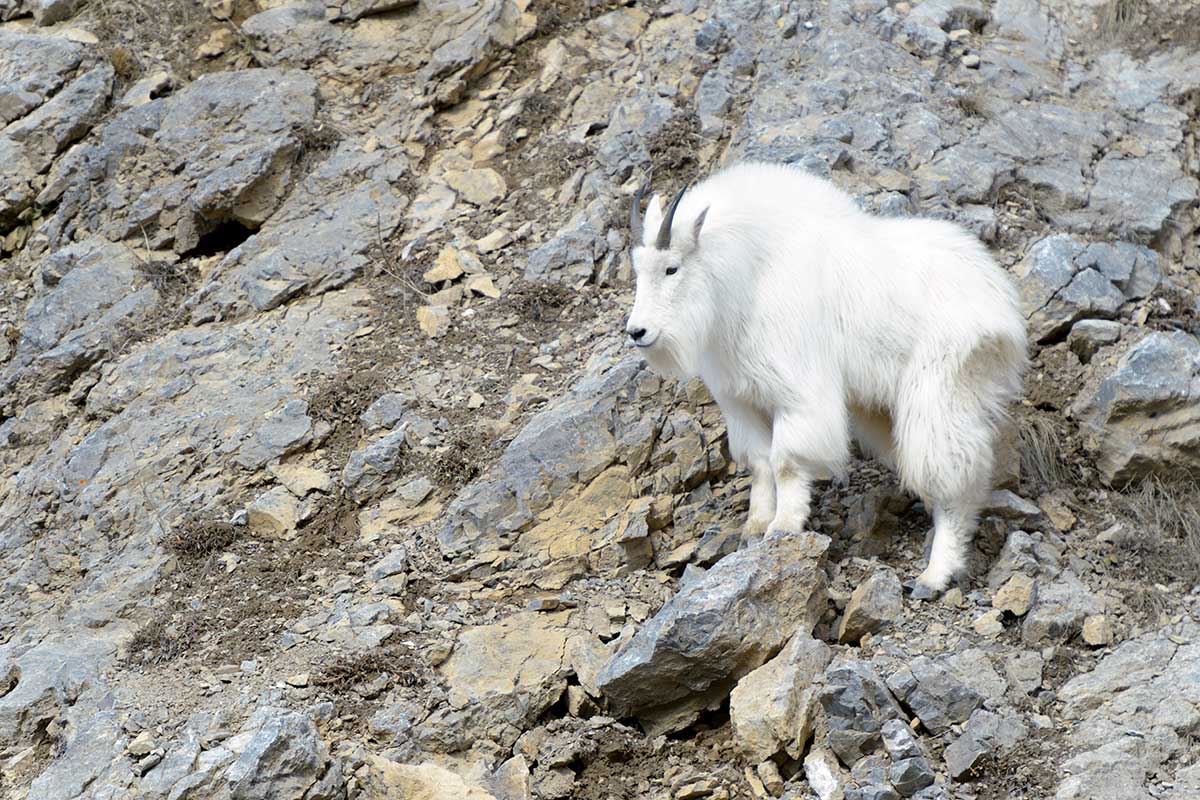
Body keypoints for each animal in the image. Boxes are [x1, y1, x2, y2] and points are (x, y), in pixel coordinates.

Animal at [625, 162, 1027, 595]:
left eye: (672, 267)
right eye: (637, 270)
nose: (638, 332)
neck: (746, 275)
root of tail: (998, 294)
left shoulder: (798, 393)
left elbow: (786, 461)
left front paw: (784, 526)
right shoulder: (742, 401)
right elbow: (760, 463)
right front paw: (755, 526)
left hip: (940, 389)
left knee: (952, 475)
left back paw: (936, 574)